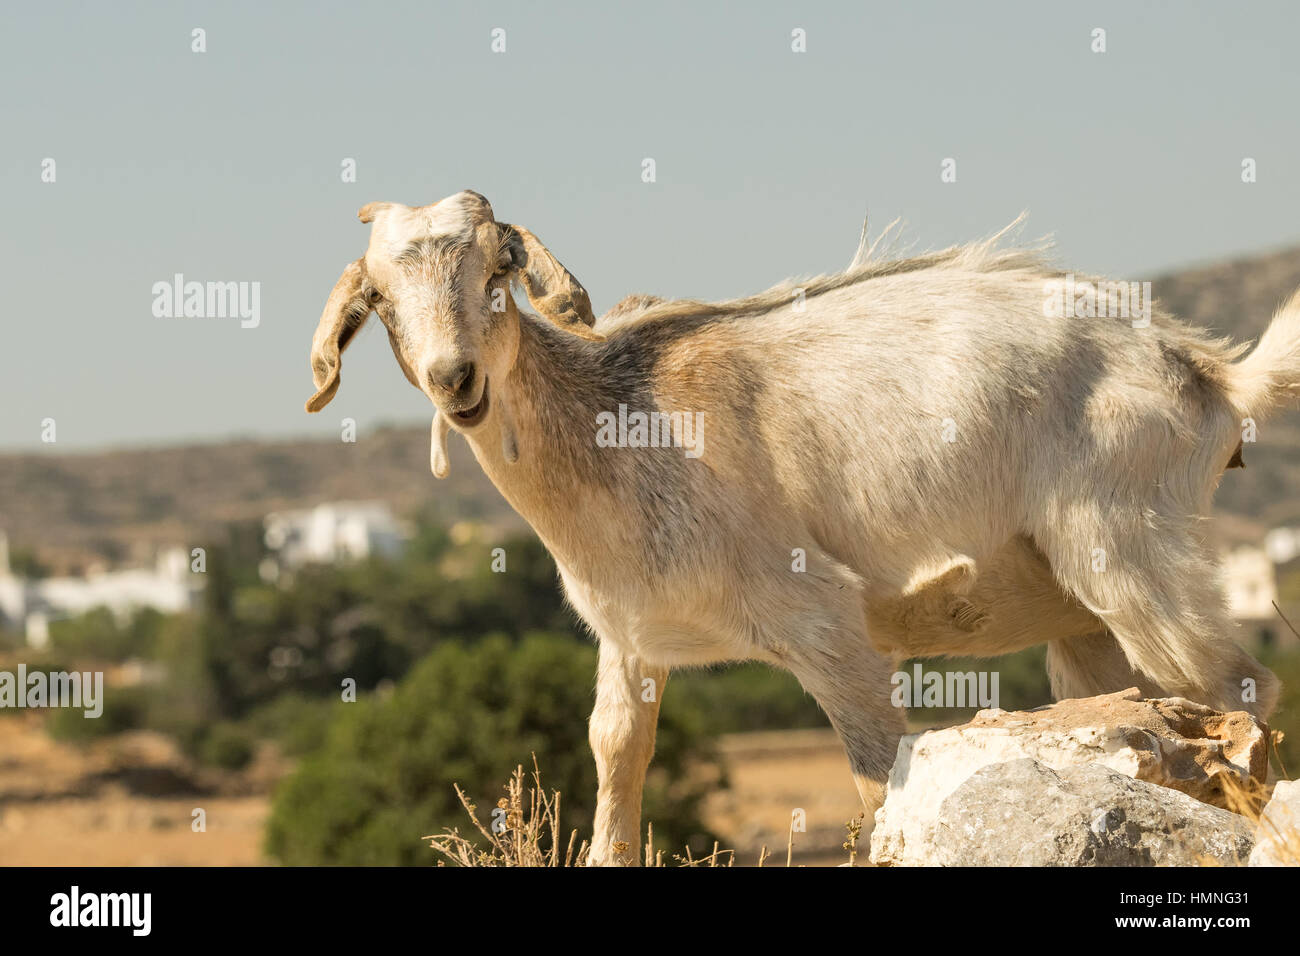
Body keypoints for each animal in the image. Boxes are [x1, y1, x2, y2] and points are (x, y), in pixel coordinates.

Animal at [305, 190, 1300, 865]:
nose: (456, 380)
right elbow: (617, 760)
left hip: (1130, 549)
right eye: (381, 299)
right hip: (1084, 617)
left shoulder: (825, 622)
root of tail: (1208, 373)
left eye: (496, 272)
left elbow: (880, 777)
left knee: (1241, 686)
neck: (614, 417)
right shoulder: (629, 641)